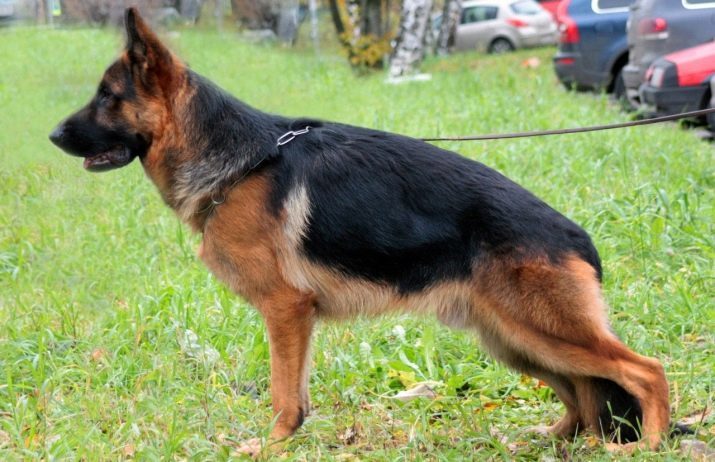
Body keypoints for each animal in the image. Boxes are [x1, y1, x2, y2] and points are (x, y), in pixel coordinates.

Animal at [51, 7, 676, 454]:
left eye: (107, 98)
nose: (53, 136)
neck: (238, 162)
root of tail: (577, 238)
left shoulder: (285, 309)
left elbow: (282, 392)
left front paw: (270, 445)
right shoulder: (295, 317)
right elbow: (296, 392)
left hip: (542, 331)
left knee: (645, 372)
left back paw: (647, 445)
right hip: (514, 338)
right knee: (583, 395)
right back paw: (556, 440)